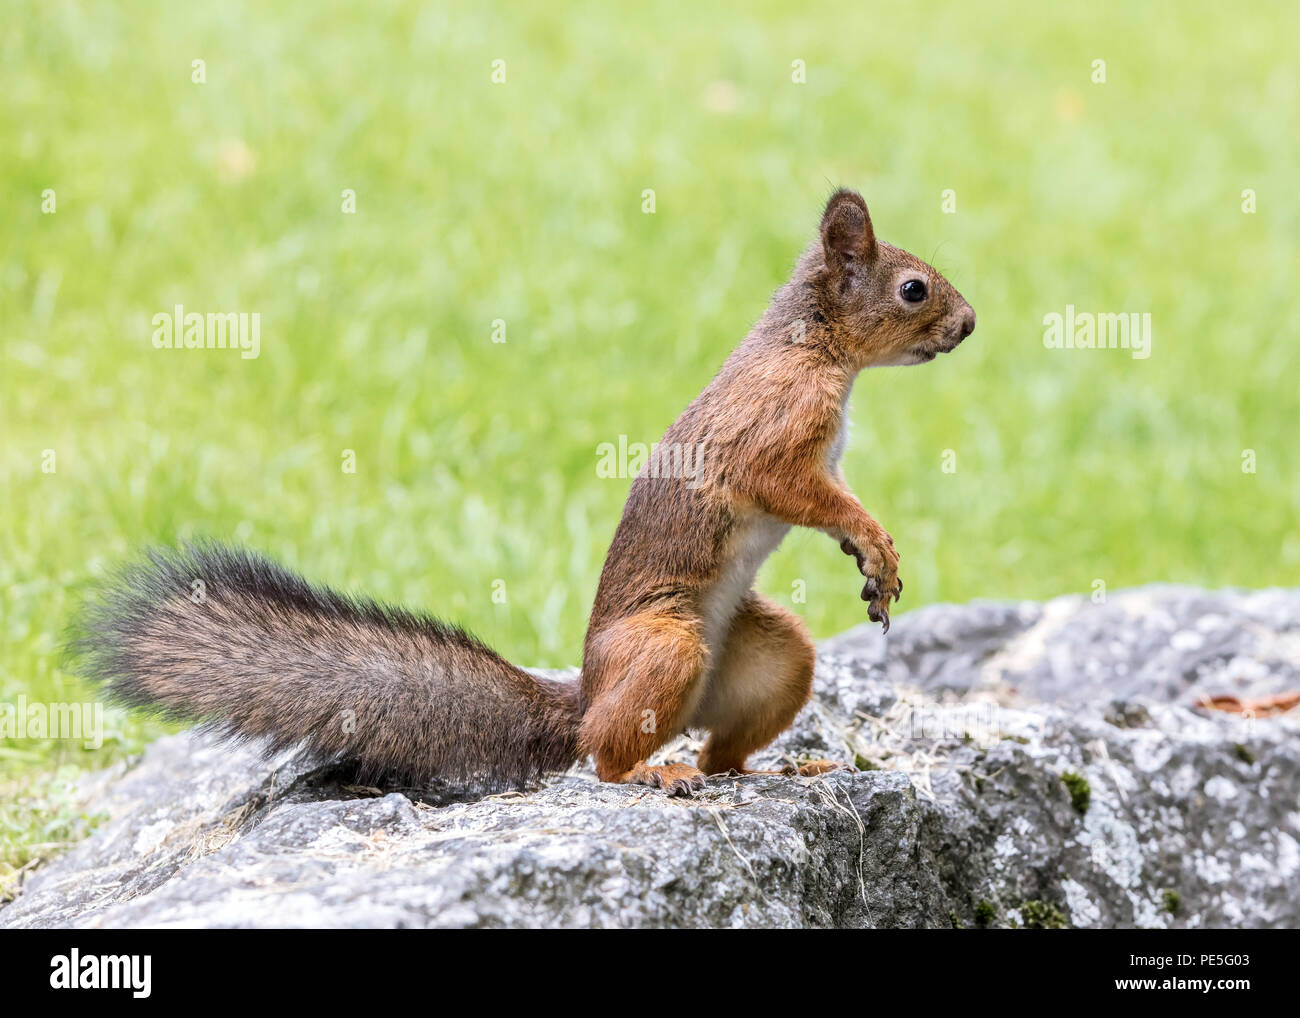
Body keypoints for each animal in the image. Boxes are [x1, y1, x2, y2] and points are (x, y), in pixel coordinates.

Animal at [75, 188, 975, 797]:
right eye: (914, 289)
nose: (969, 325)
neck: (814, 346)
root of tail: (585, 696)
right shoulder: (773, 436)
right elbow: (802, 491)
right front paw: (873, 539)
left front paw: (875, 556)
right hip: (664, 647)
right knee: (607, 754)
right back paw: (650, 775)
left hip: (771, 656)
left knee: (720, 750)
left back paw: (781, 769)